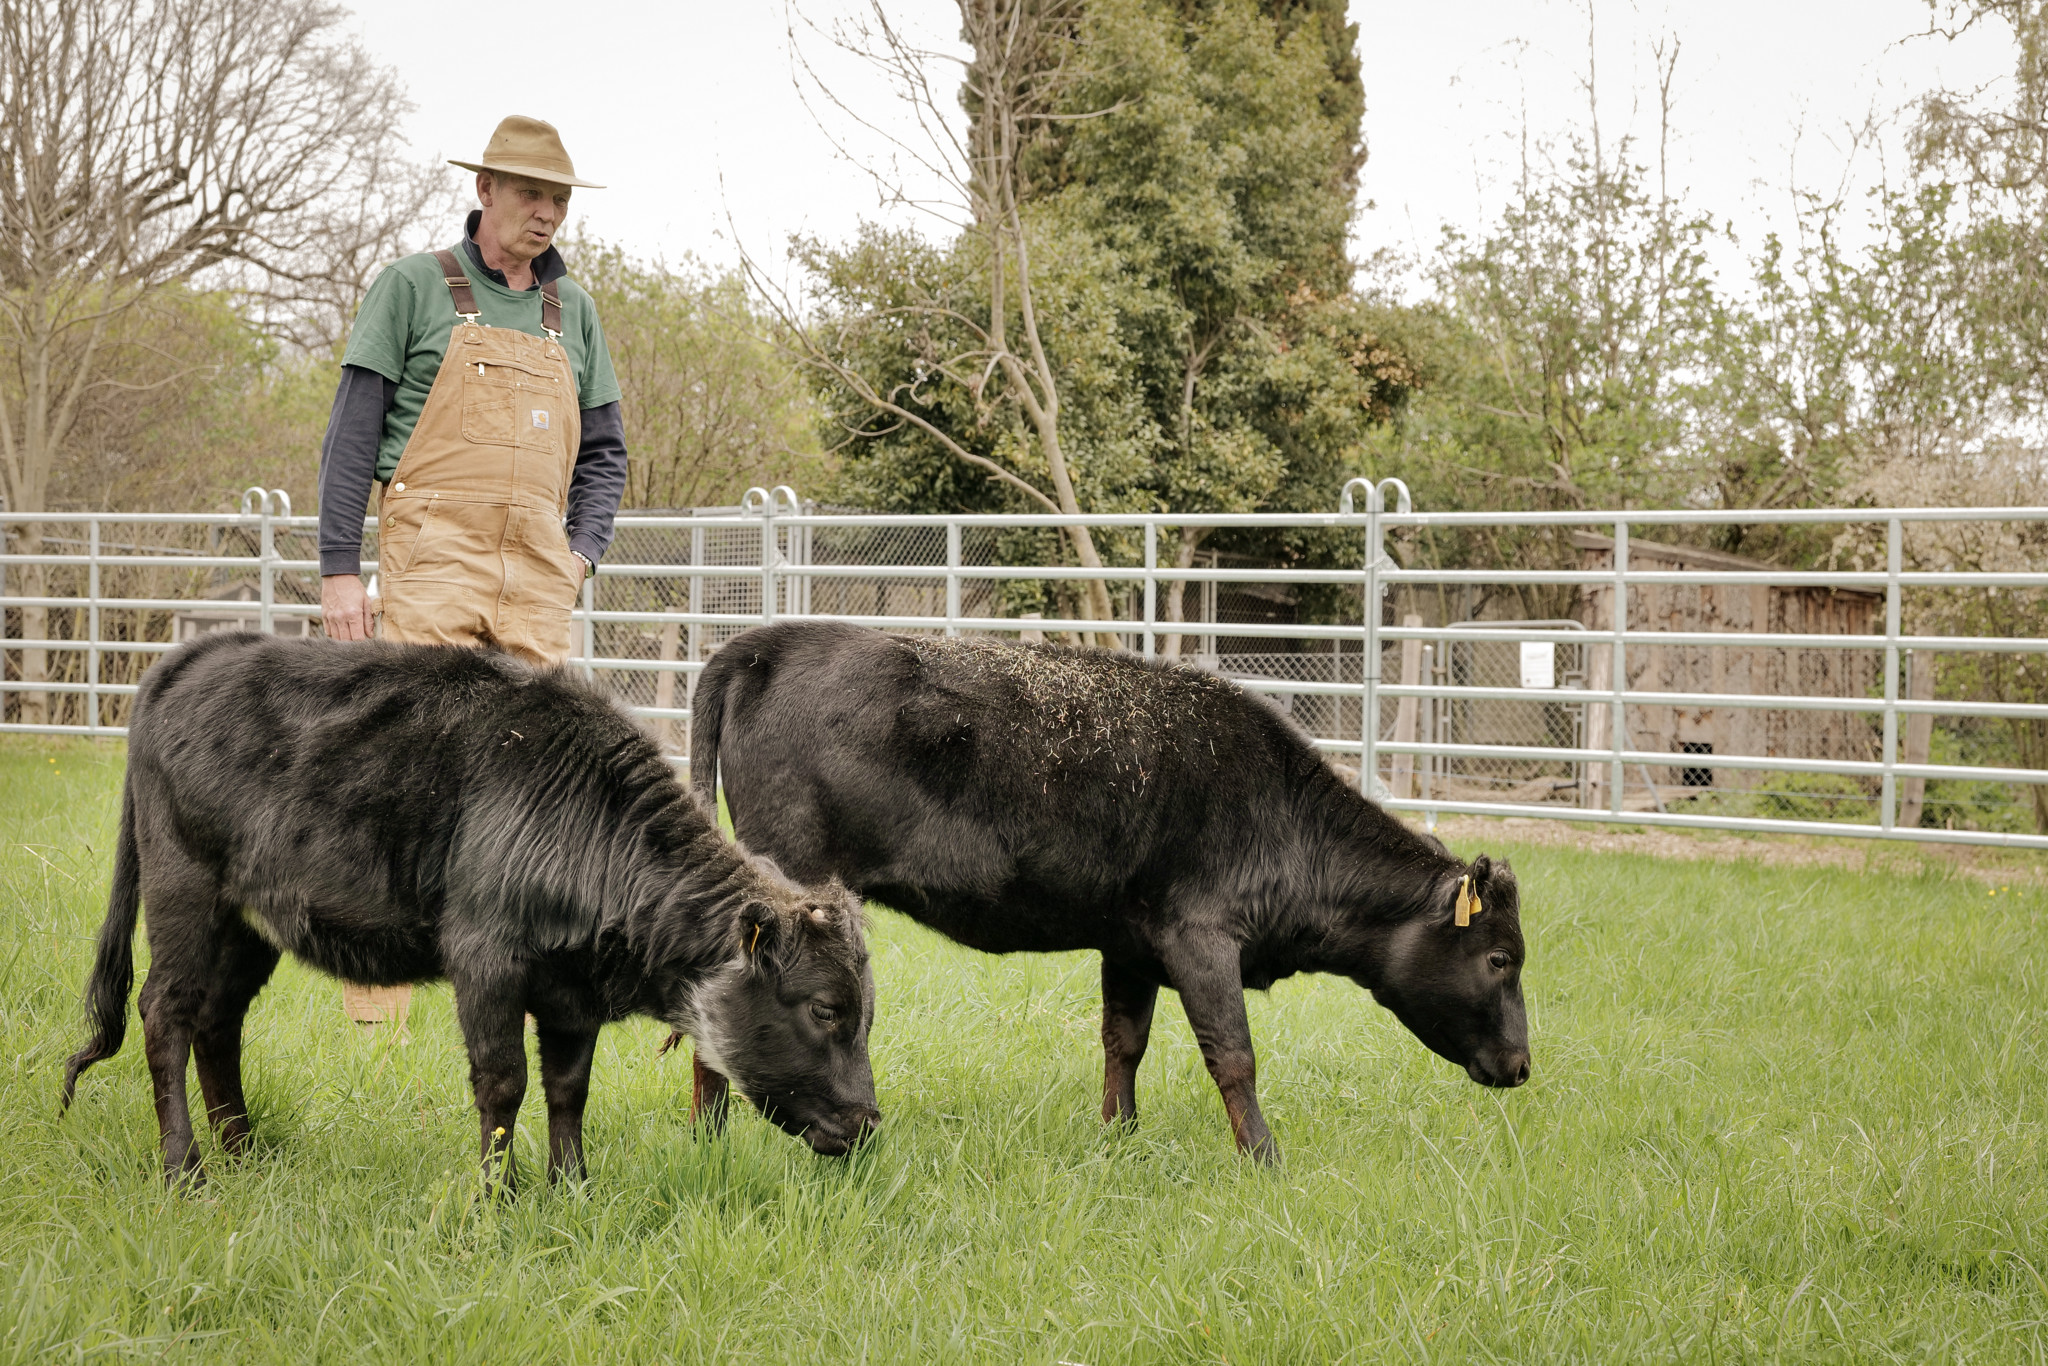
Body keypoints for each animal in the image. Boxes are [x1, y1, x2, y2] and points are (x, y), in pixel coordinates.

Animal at [60, 632, 879, 1190]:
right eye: (825, 1009)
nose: (868, 1123)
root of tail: (199, 652)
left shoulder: (571, 992)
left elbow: (568, 1089)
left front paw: (573, 1190)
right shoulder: (486, 959)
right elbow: (503, 1081)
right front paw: (496, 1197)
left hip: (250, 923)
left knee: (217, 1021)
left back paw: (244, 1152)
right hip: (183, 890)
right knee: (166, 1012)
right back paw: (186, 1169)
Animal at [689, 621, 1528, 1162]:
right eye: (1500, 960)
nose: (1523, 1066)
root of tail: (765, 644)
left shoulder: (1129, 943)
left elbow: (1124, 1042)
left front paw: (1118, 1139)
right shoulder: (1201, 936)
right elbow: (1235, 1055)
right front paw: (1263, 1157)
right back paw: (711, 1144)